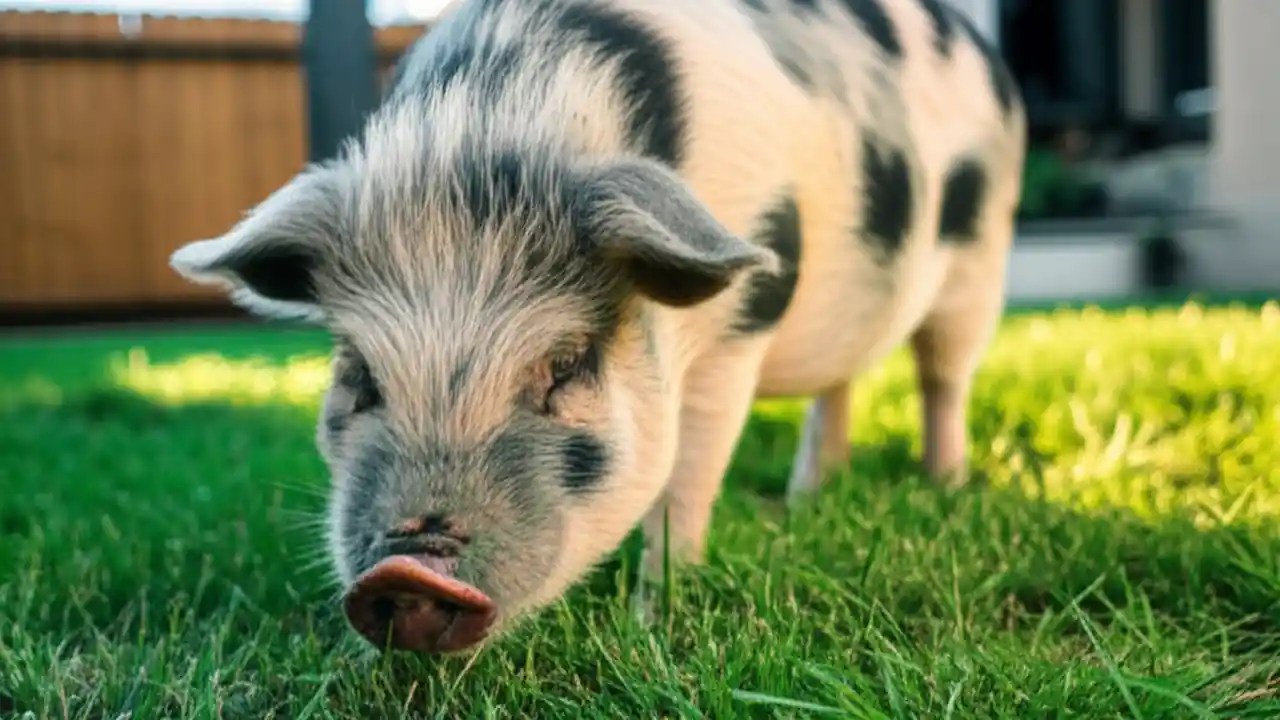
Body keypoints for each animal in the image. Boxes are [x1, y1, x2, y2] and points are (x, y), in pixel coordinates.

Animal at [169, 0, 1024, 654]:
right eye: (359, 374)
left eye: (567, 365)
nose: (407, 571)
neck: (496, 124)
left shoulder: (737, 333)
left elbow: (686, 479)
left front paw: (653, 626)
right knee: (838, 387)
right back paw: (805, 502)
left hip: (982, 259)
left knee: (943, 377)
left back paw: (944, 485)